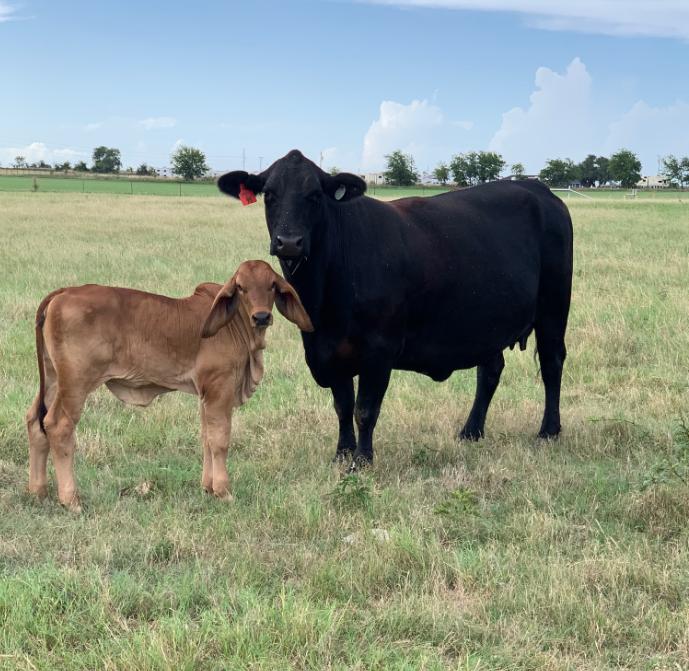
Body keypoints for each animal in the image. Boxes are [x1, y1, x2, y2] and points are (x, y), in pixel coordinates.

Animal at [25, 260, 313, 511]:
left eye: (271, 285)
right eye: (241, 287)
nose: (262, 317)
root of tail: (63, 293)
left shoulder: (204, 392)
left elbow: (206, 436)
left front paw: (208, 487)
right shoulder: (220, 385)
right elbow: (220, 439)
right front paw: (223, 491)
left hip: (52, 380)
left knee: (34, 421)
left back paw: (38, 491)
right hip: (75, 384)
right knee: (58, 426)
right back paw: (70, 500)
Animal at [216, 150, 573, 470]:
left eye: (316, 196)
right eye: (269, 195)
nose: (289, 242)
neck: (323, 304)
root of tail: (539, 190)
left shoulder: (380, 348)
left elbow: (365, 409)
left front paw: (362, 461)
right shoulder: (331, 351)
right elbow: (342, 406)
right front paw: (341, 455)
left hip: (553, 305)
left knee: (552, 363)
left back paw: (548, 431)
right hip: (489, 321)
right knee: (490, 370)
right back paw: (471, 431)